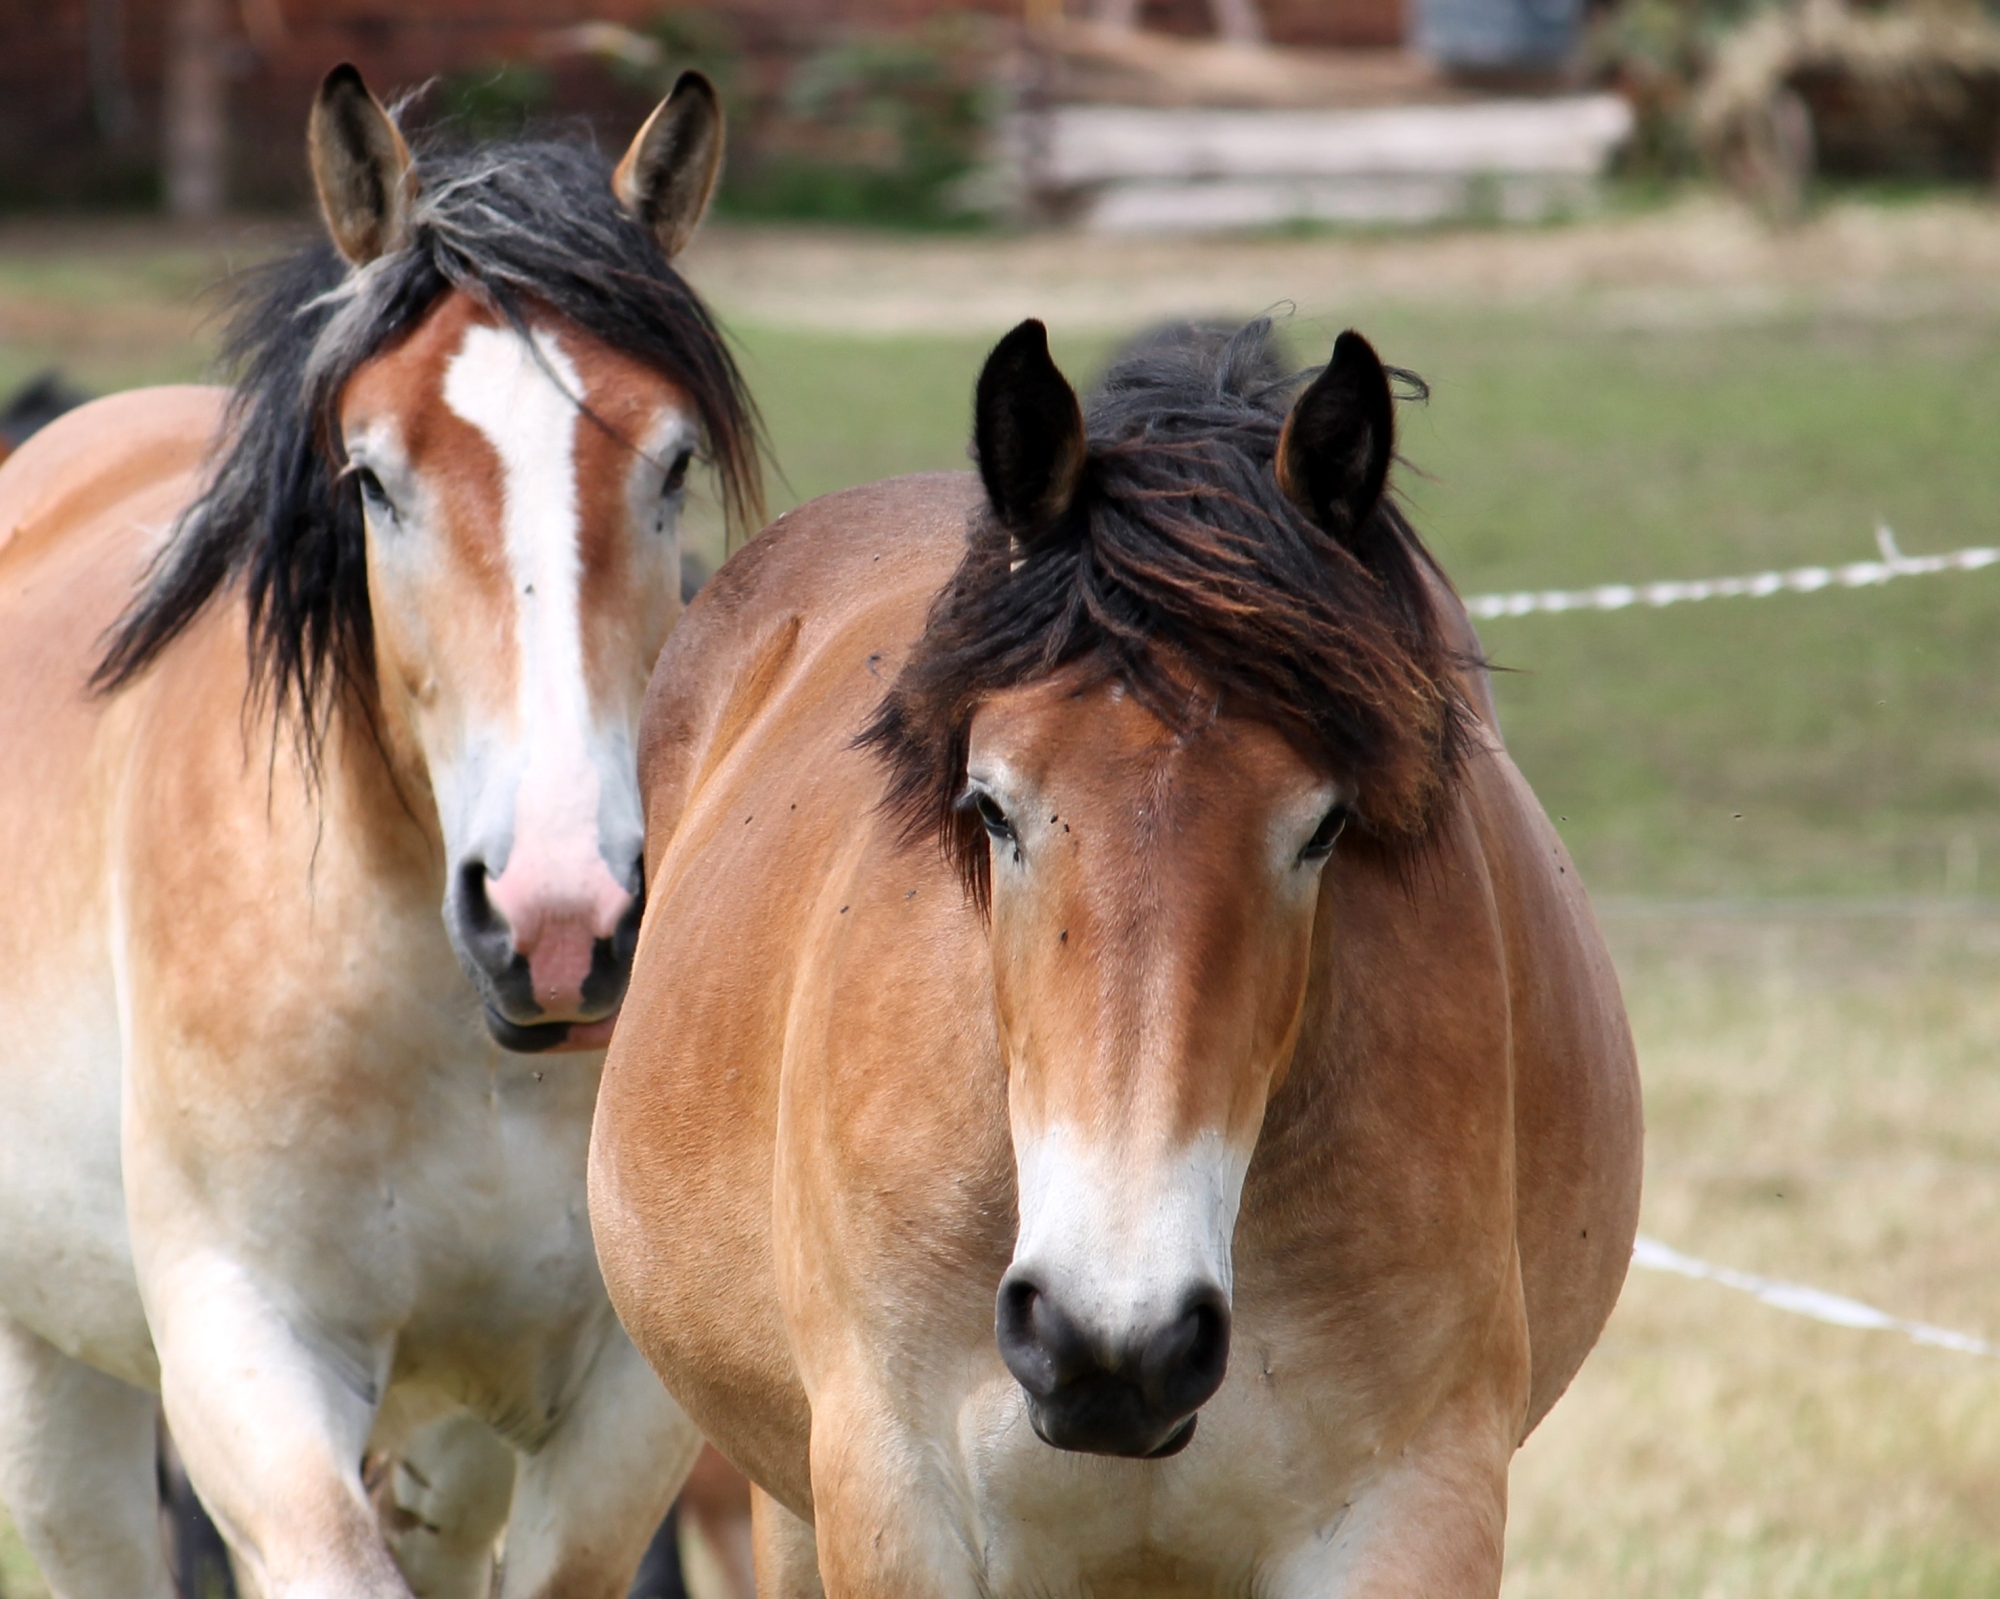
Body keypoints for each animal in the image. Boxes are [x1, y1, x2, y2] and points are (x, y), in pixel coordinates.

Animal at [0, 62, 759, 1599]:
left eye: (669, 466)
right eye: (369, 479)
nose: (558, 921)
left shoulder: (617, 1408)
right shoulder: (250, 1363)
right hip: (58, 1386)